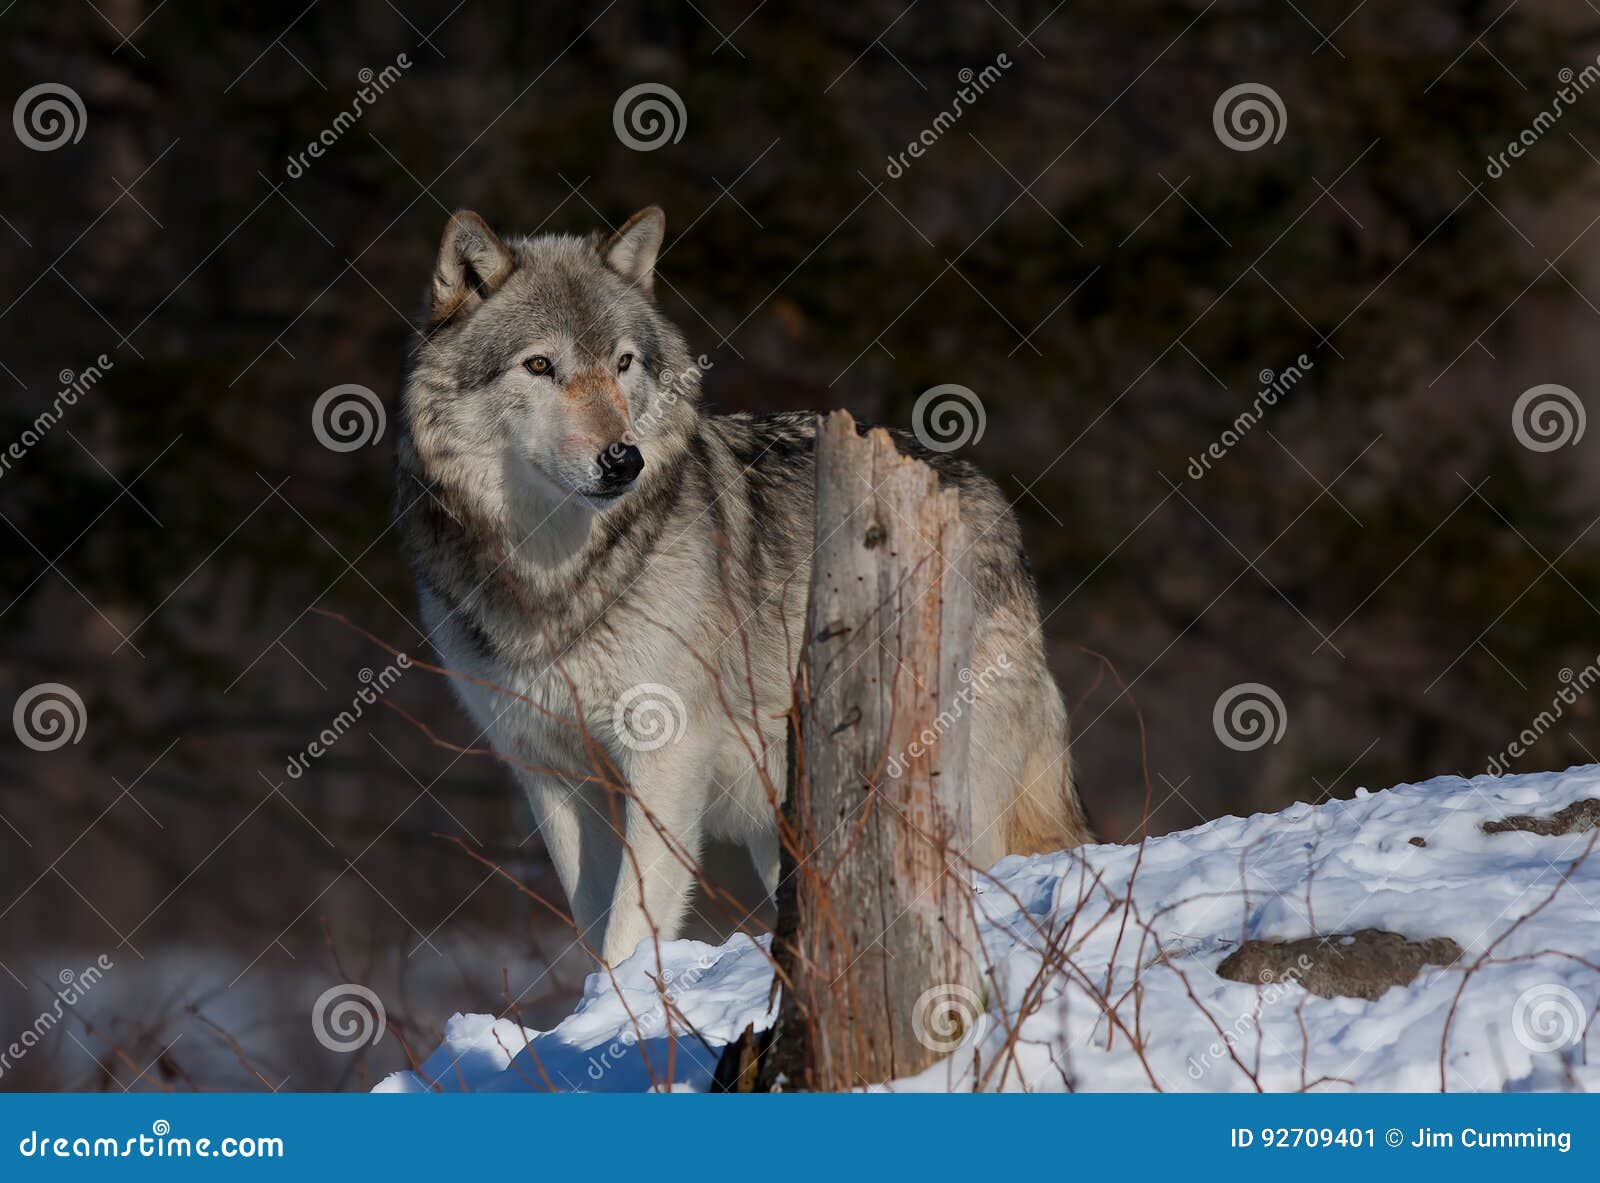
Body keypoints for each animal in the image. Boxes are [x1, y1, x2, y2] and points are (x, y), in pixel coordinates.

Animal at [395, 206, 1091, 966]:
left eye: (622, 363)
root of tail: (989, 497)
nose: (623, 461)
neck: (556, 576)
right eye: (541, 365)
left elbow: (631, 925)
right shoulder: (548, 773)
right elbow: (591, 921)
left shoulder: (665, 755)